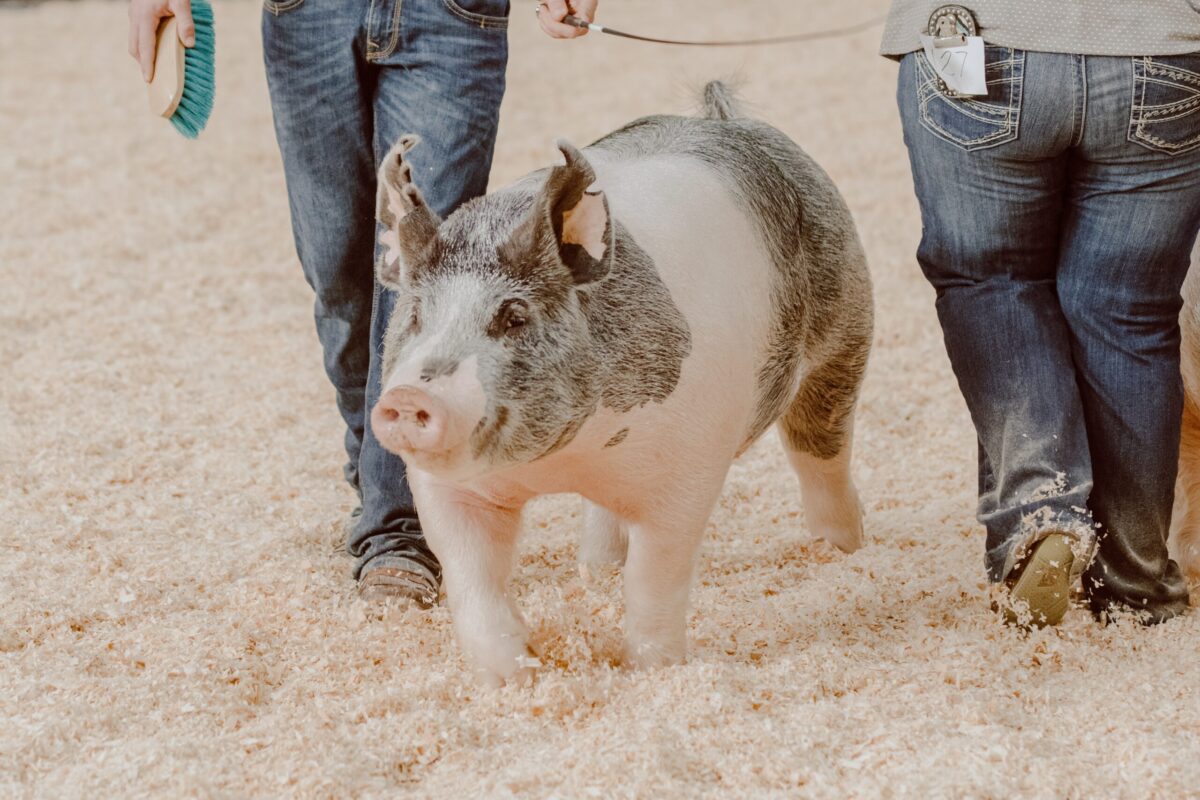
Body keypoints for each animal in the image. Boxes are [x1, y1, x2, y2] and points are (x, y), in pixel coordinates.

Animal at [369, 82, 873, 686]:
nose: (408, 398)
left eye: (513, 316)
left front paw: (651, 670)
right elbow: (474, 581)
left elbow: (655, 575)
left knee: (820, 452)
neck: (561, 462)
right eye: (417, 314)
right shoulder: (447, 488)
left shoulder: (688, 469)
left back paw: (843, 552)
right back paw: (596, 571)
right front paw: (514, 679)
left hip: (845, 334)